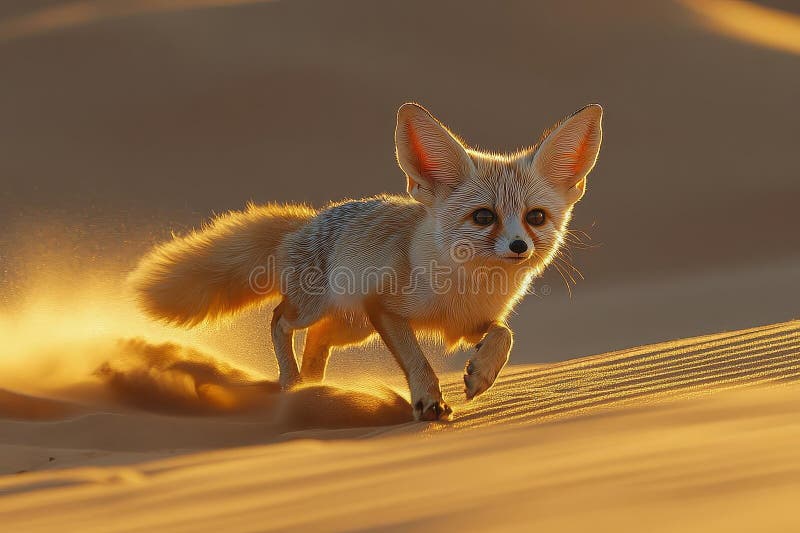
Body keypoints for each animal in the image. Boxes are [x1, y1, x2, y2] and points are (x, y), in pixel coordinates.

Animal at [129, 102, 603, 421]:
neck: (464, 287)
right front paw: (429, 401)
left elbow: (505, 335)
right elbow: (418, 360)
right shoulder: (386, 310)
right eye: (484, 217)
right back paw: (292, 383)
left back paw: (315, 391)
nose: (520, 246)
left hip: (351, 328)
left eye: (535, 217)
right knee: (280, 320)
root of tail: (308, 218)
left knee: (317, 340)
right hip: (324, 311)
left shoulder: (467, 323)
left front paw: (482, 375)